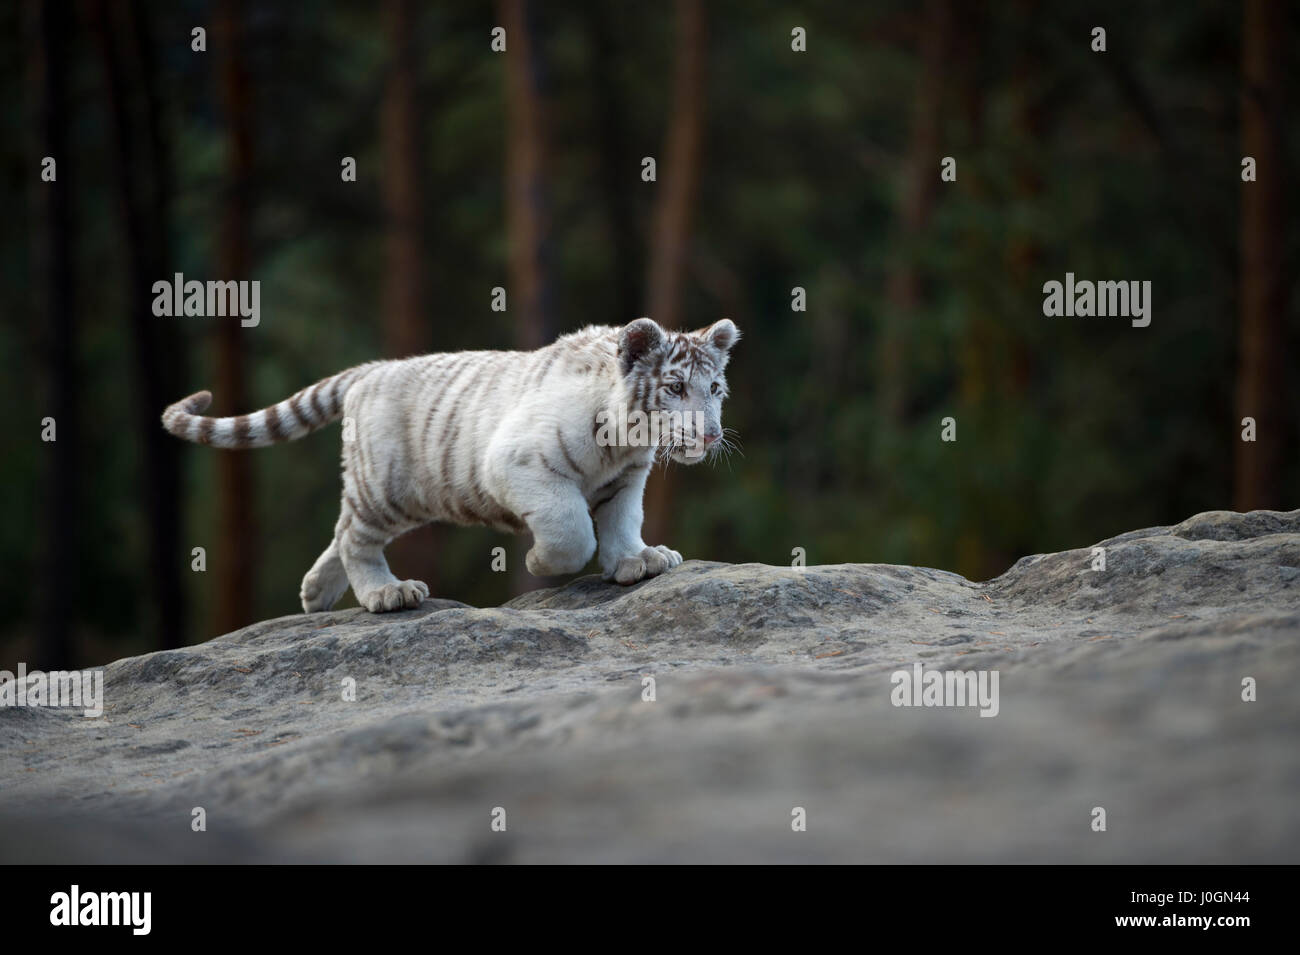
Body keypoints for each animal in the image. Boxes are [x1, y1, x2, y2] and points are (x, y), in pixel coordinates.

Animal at [161, 317, 739, 613]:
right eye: (675, 388)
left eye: (714, 389)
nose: (711, 434)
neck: (623, 437)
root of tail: (369, 371)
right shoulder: (515, 461)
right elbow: (571, 527)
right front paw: (539, 565)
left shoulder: (625, 480)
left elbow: (620, 523)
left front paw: (637, 561)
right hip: (388, 489)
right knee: (355, 538)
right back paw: (386, 594)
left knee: (340, 530)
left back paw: (315, 593)